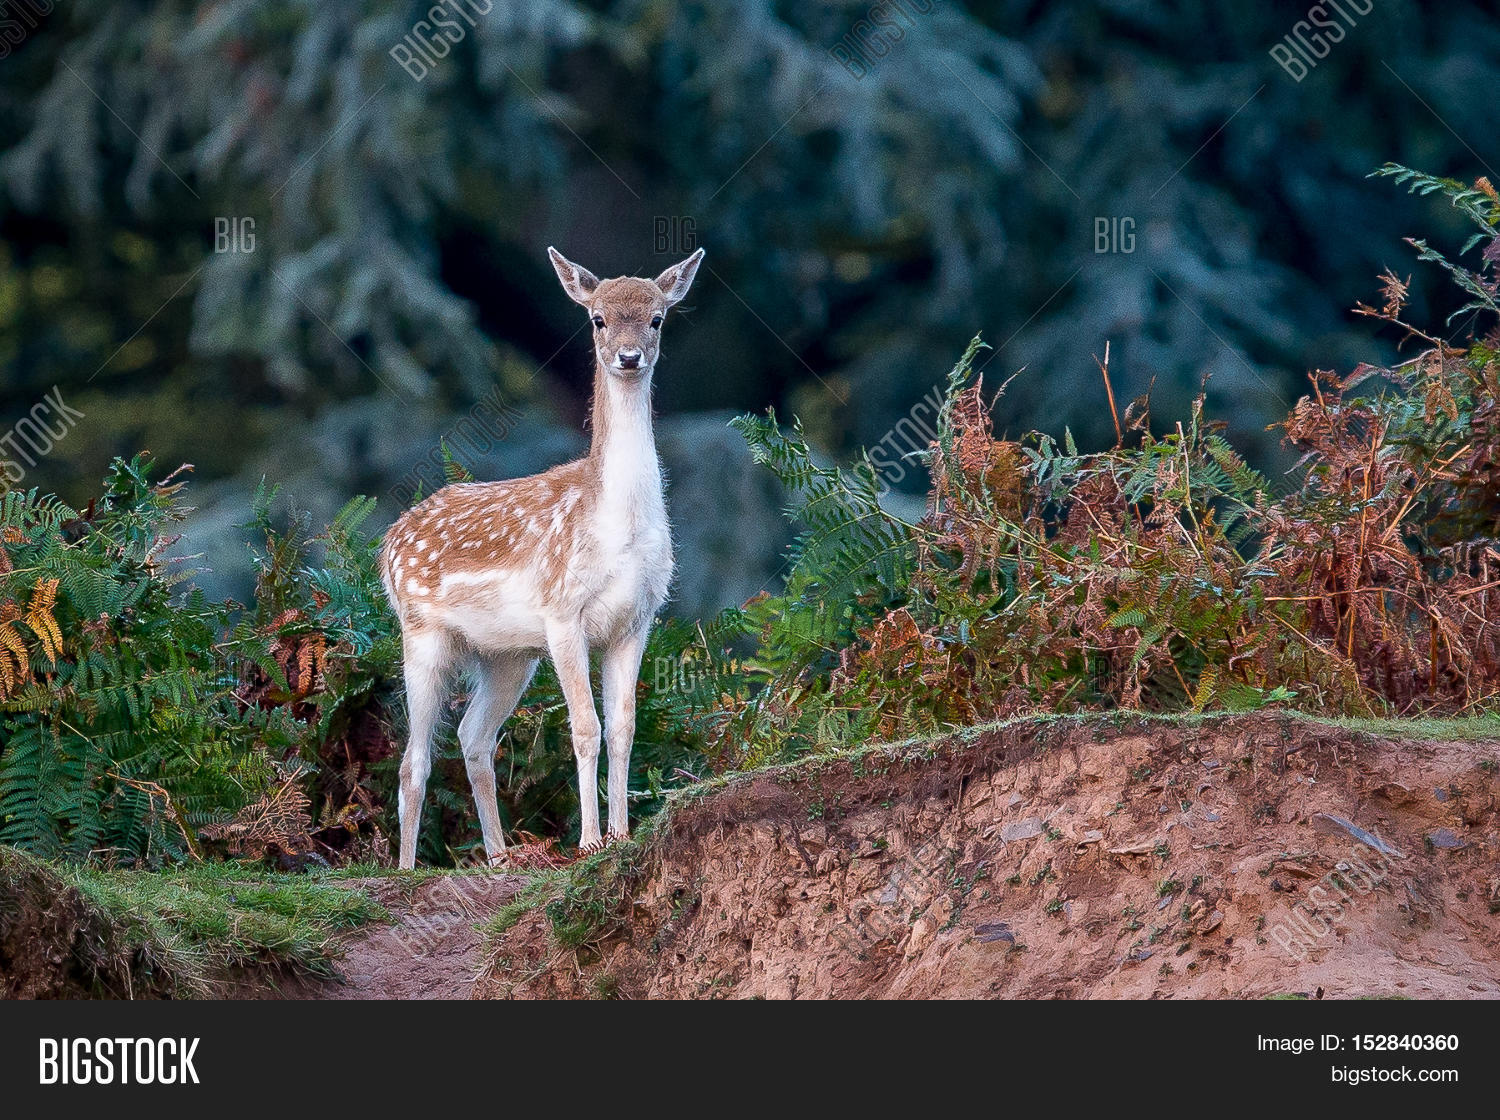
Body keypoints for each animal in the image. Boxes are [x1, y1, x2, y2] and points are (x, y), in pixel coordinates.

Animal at [379, 246, 705, 869]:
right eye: (597, 319)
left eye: (657, 318)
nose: (628, 356)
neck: (616, 528)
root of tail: (387, 543)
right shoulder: (561, 612)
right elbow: (585, 727)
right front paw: (590, 841)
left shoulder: (637, 620)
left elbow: (623, 726)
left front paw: (622, 835)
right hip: (422, 632)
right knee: (413, 759)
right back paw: (406, 868)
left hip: (508, 656)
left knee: (473, 737)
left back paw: (500, 856)